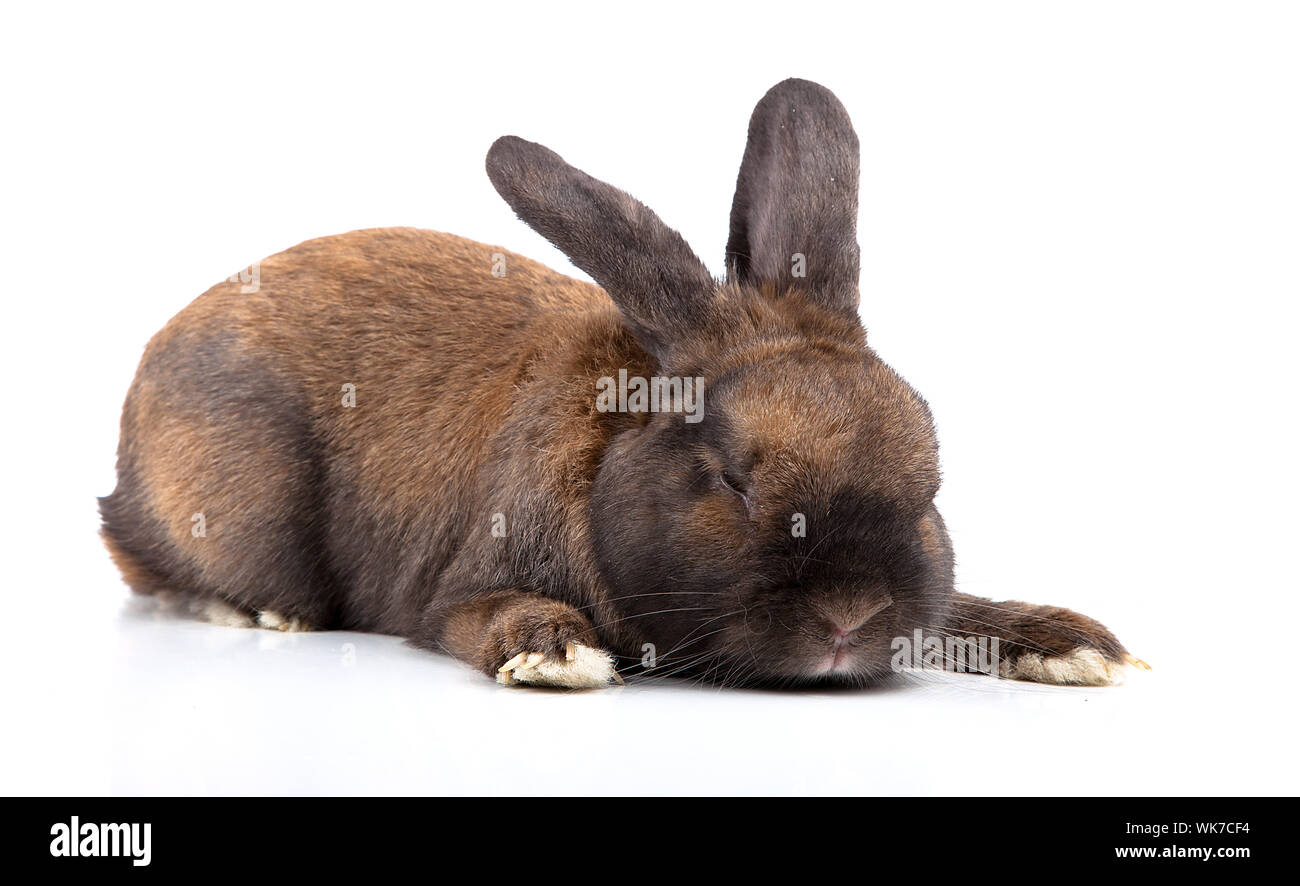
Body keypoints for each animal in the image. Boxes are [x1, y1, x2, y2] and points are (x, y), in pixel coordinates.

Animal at [100, 78, 1145, 689]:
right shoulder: (455, 596)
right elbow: (483, 620)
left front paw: (1068, 642)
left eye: (931, 484)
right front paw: (556, 653)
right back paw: (251, 610)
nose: (848, 618)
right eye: (731, 479)